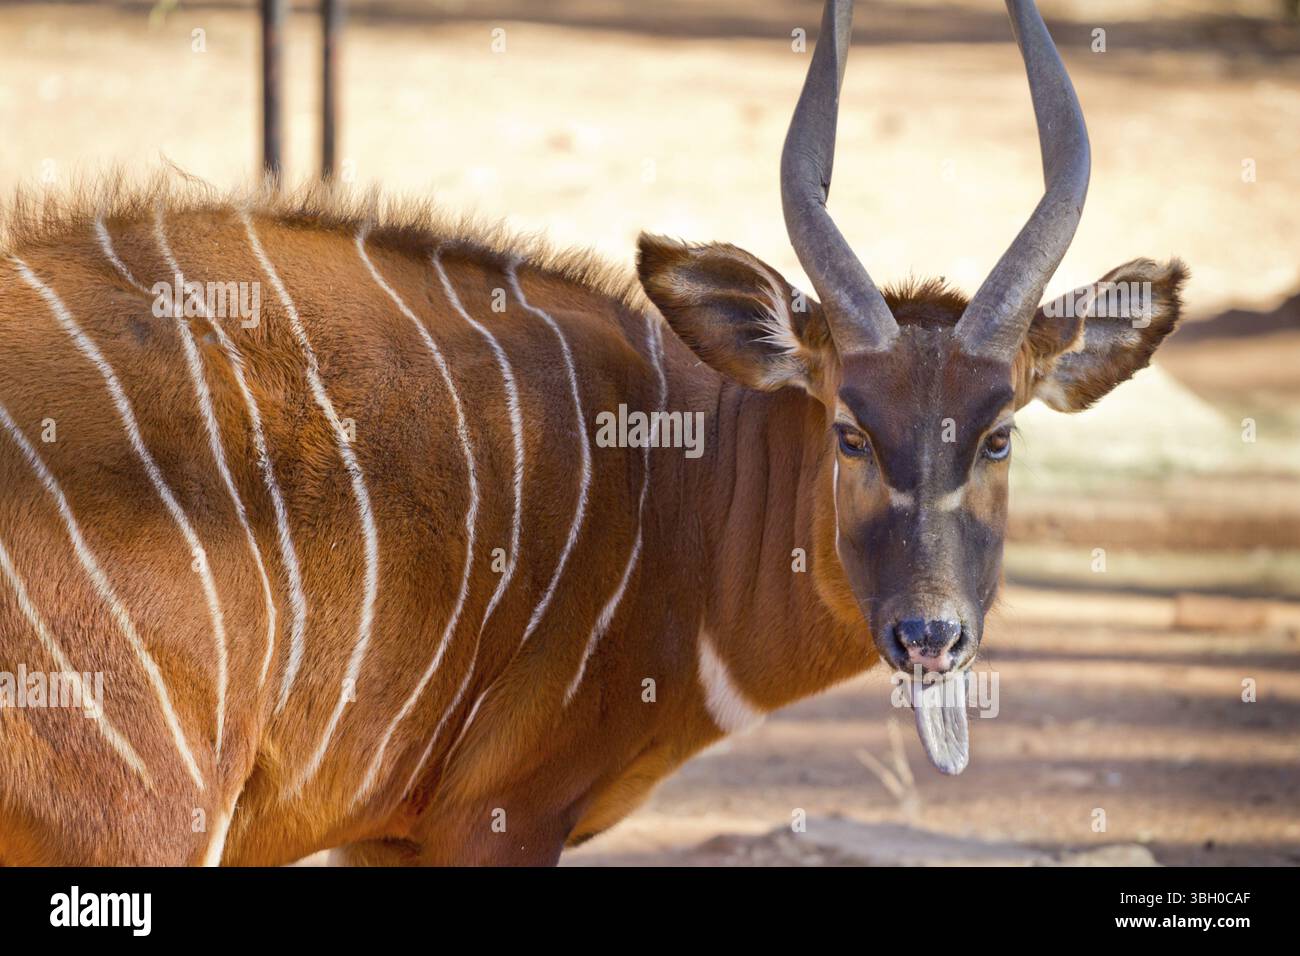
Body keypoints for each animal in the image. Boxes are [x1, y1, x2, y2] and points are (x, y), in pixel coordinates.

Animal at [0, 0, 1185, 866]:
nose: (931, 636)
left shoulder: (388, 835)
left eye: (999, 435)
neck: (676, 493)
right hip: (141, 818)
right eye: (849, 429)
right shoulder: (496, 816)